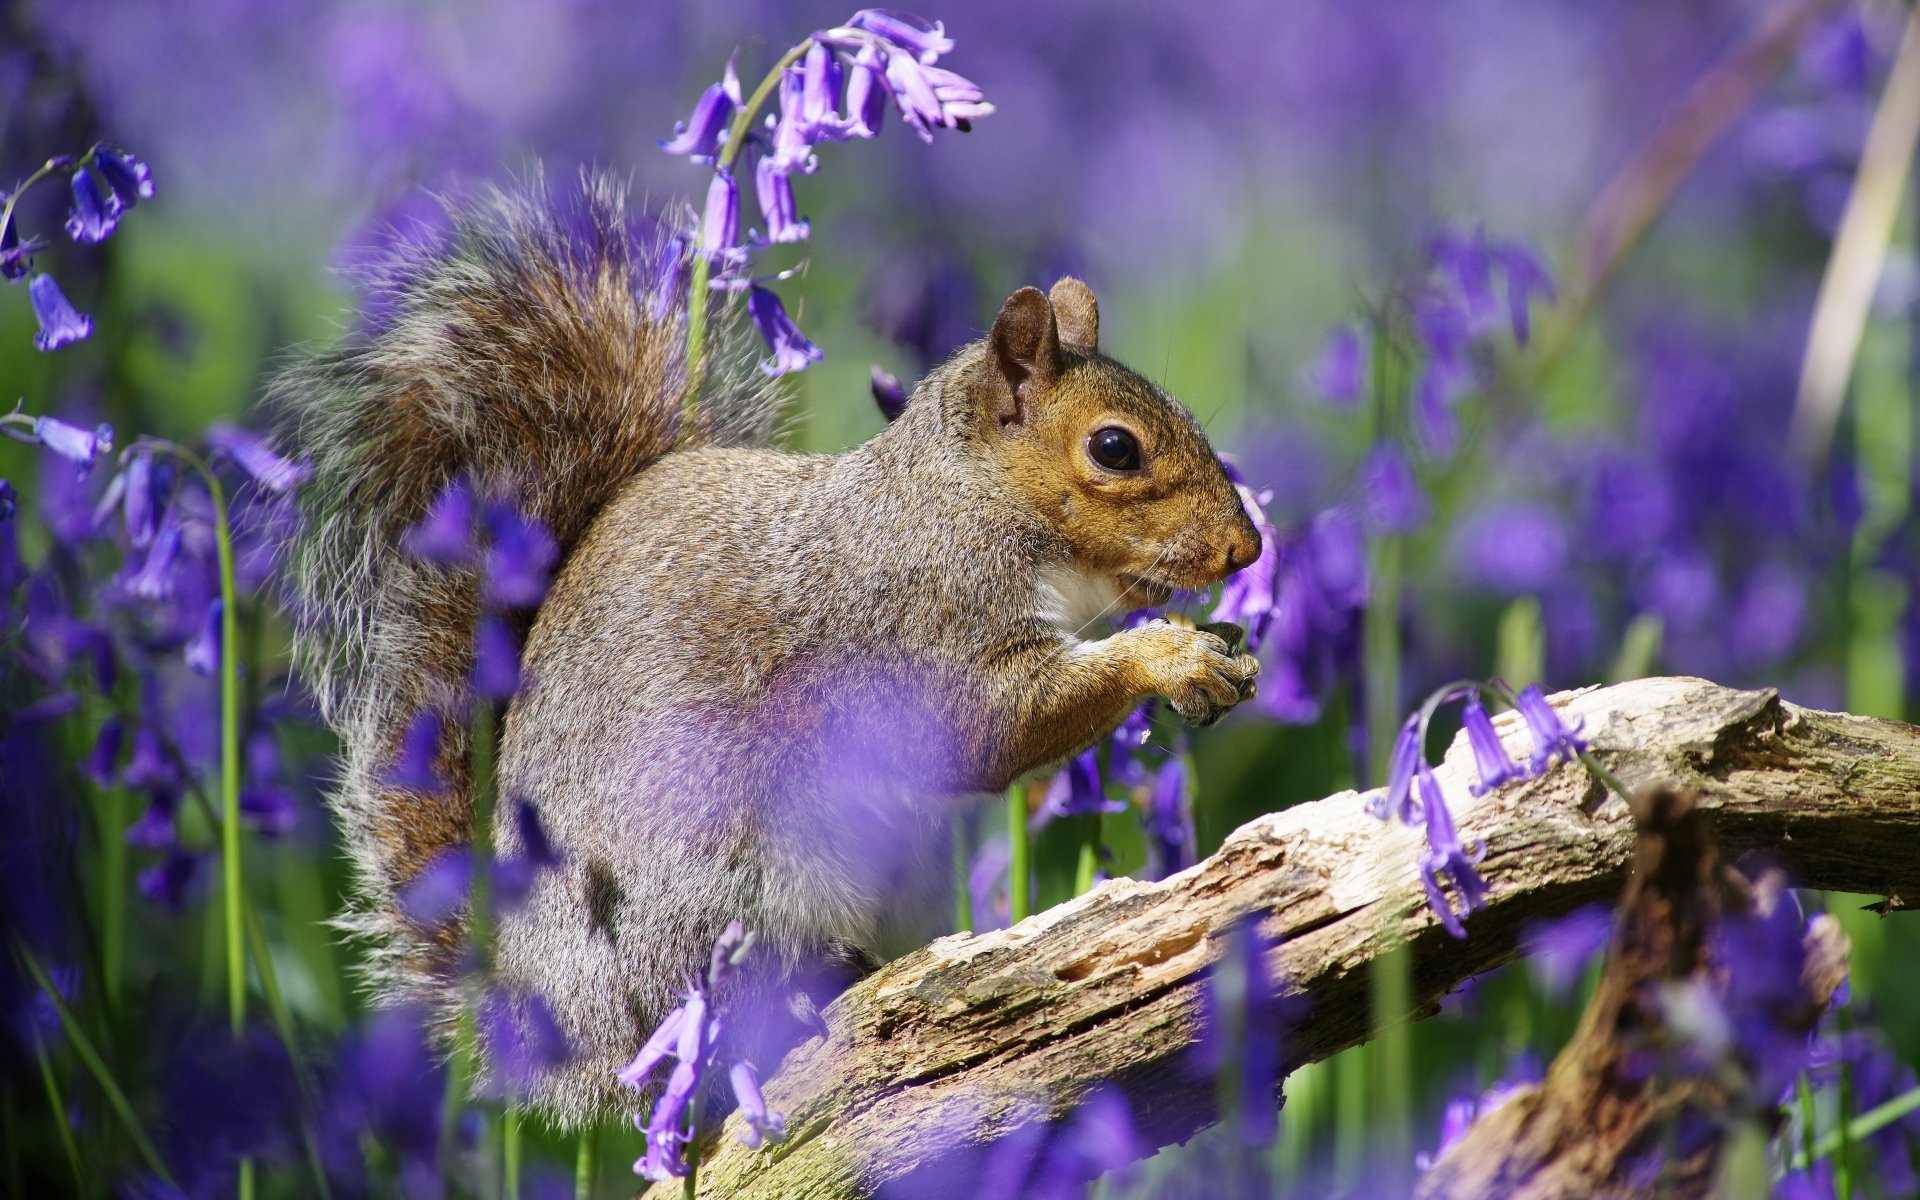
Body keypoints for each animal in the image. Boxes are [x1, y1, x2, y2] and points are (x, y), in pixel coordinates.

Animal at [283, 173, 1261, 1126]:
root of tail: (536, 1017)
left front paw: (1216, 640)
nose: (1246, 550)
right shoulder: (916, 625)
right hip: (703, 882)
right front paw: (1168, 659)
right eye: (1114, 448)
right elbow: (992, 728)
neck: (962, 498)